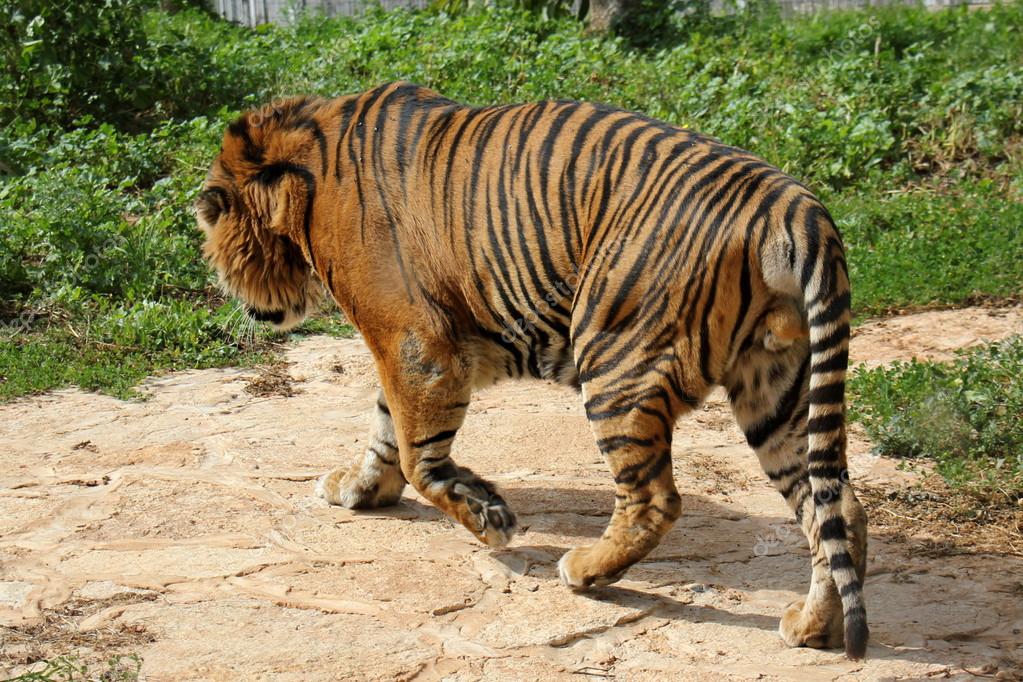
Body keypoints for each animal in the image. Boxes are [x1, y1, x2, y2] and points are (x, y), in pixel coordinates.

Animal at [196, 82, 869, 659]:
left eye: (216, 223)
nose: (241, 299)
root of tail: (795, 206)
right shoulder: (405, 348)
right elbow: (387, 431)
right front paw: (360, 489)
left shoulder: (416, 342)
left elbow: (416, 454)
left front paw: (489, 519)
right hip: (777, 392)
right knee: (836, 506)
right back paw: (813, 627)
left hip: (616, 359)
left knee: (653, 499)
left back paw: (583, 569)